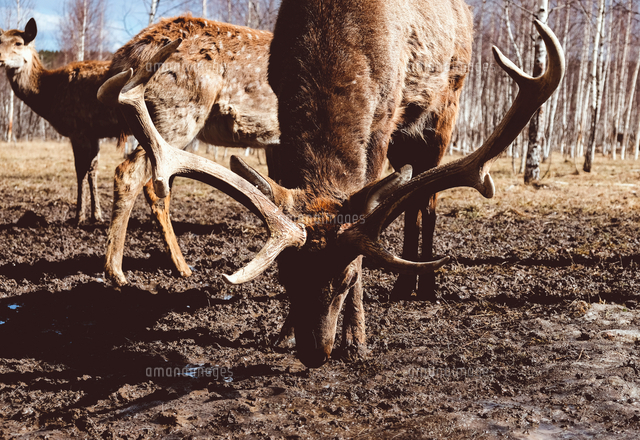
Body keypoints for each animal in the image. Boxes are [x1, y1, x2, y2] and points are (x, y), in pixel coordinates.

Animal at [0, 18, 125, 223]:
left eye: (18, 43)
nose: (0, 58)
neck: (49, 95)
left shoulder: (77, 129)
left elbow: (80, 169)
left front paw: (79, 217)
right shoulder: (93, 132)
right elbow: (93, 169)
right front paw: (96, 215)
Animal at [99, 0, 564, 368]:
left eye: (345, 279)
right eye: (285, 277)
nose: (315, 353)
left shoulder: (383, 118)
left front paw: (357, 342)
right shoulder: (279, 116)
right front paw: (284, 333)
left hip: (442, 108)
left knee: (425, 198)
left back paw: (423, 286)